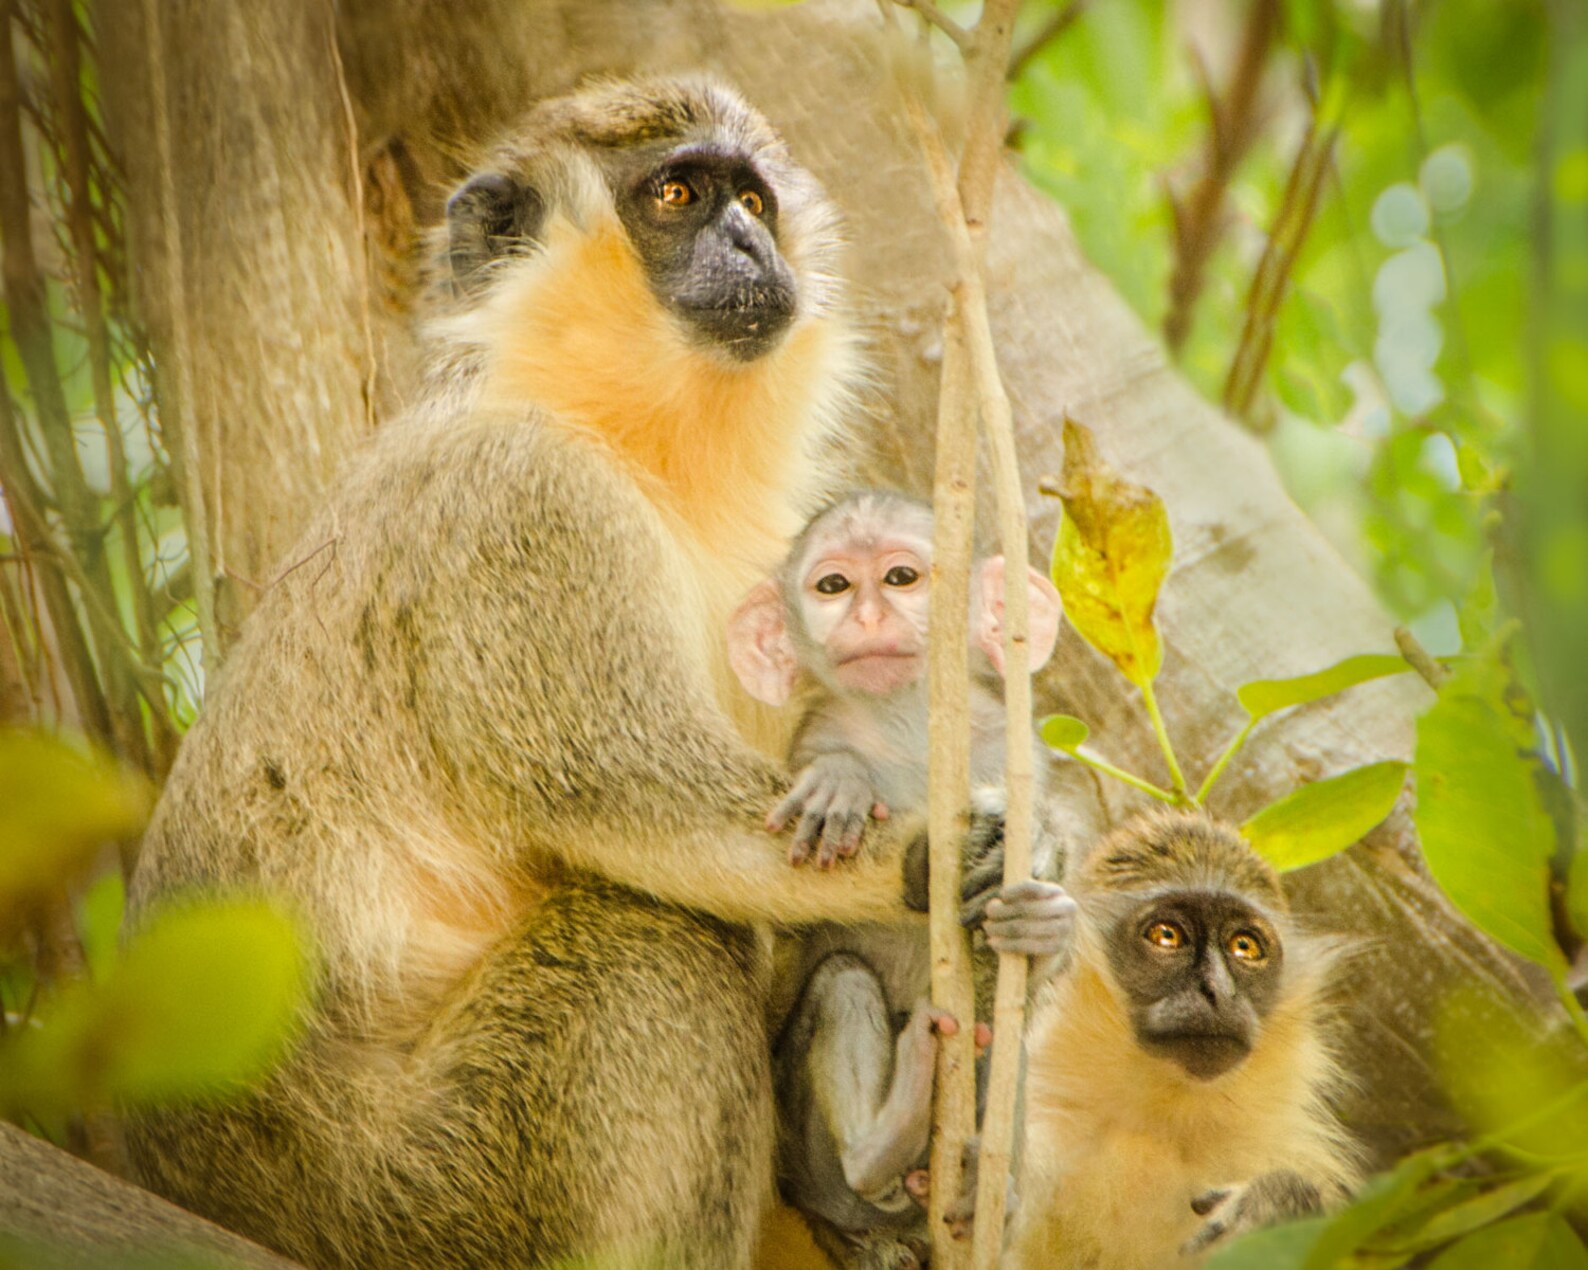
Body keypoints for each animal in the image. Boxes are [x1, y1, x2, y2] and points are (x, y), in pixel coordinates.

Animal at [124, 78, 1014, 1270]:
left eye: (751, 200)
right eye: (676, 196)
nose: (750, 246)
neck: (622, 433)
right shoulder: (526, 504)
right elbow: (641, 808)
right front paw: (931, 851)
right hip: (419, 1197)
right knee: (654, 946)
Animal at [727, 489, 1078, 1269]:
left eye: (900, 578)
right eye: (832, 586)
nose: (865, 617)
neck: (916, 732)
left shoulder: (1013, 754)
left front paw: (1043, 915)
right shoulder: (816, 732)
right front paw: (843, 786)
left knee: (1001, 1040)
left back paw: (981, 1194)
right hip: (805, 1155)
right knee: (842, 981)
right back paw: (885, 1139)